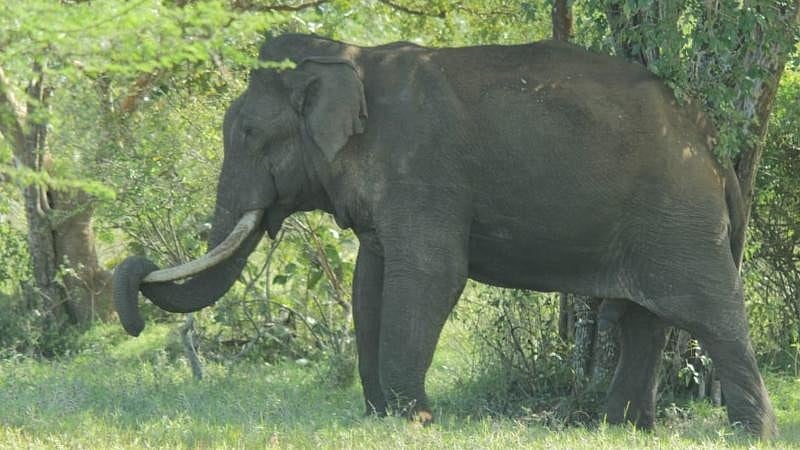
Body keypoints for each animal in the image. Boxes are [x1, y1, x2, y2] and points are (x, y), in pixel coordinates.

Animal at [113, 34, 777, 437]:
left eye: (249, 133)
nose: (136, 303)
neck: (350, 58)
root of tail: (713, 145)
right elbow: (371, 280)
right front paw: (380, 417)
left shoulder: (422, 166)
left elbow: (430, 273)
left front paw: (415, 420)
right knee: (645, 320)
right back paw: (621, 428)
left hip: (678, 213)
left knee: (710, 311)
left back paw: (751, 434)